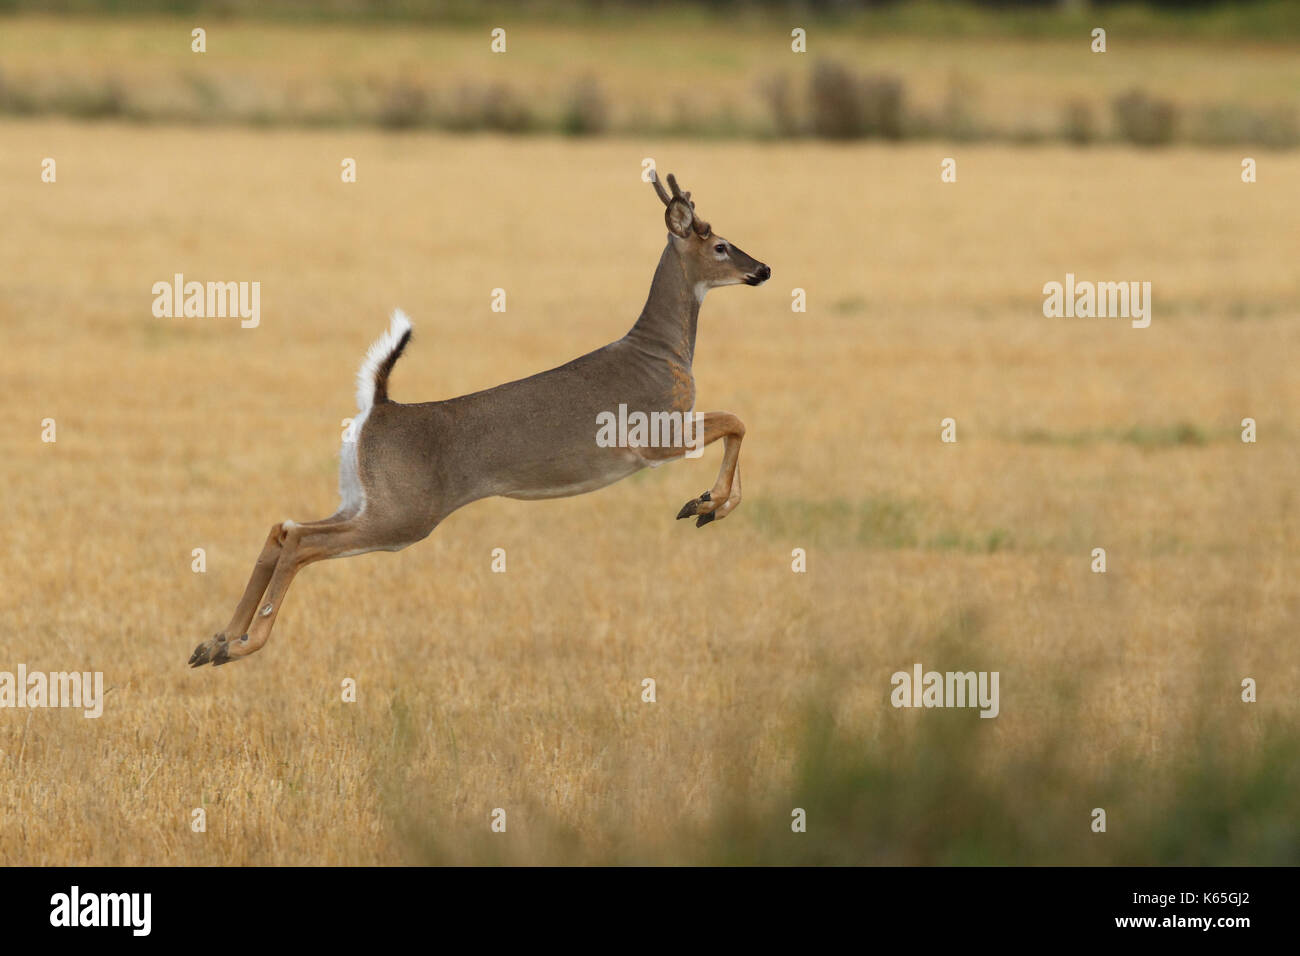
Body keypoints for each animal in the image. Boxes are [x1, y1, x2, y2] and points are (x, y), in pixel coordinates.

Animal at [189, 172, 770, 667]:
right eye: (720, 245)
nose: (762, 269)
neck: (661, 351)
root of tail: (377, 407)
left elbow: (737, 425)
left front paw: (708, 505)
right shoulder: (652, 436)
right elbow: (736, 420)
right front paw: (705, 504)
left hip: (365, 498)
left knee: (283, 528)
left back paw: (214, 642)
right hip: (404, 514)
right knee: (301, 543)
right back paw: (241, 645)